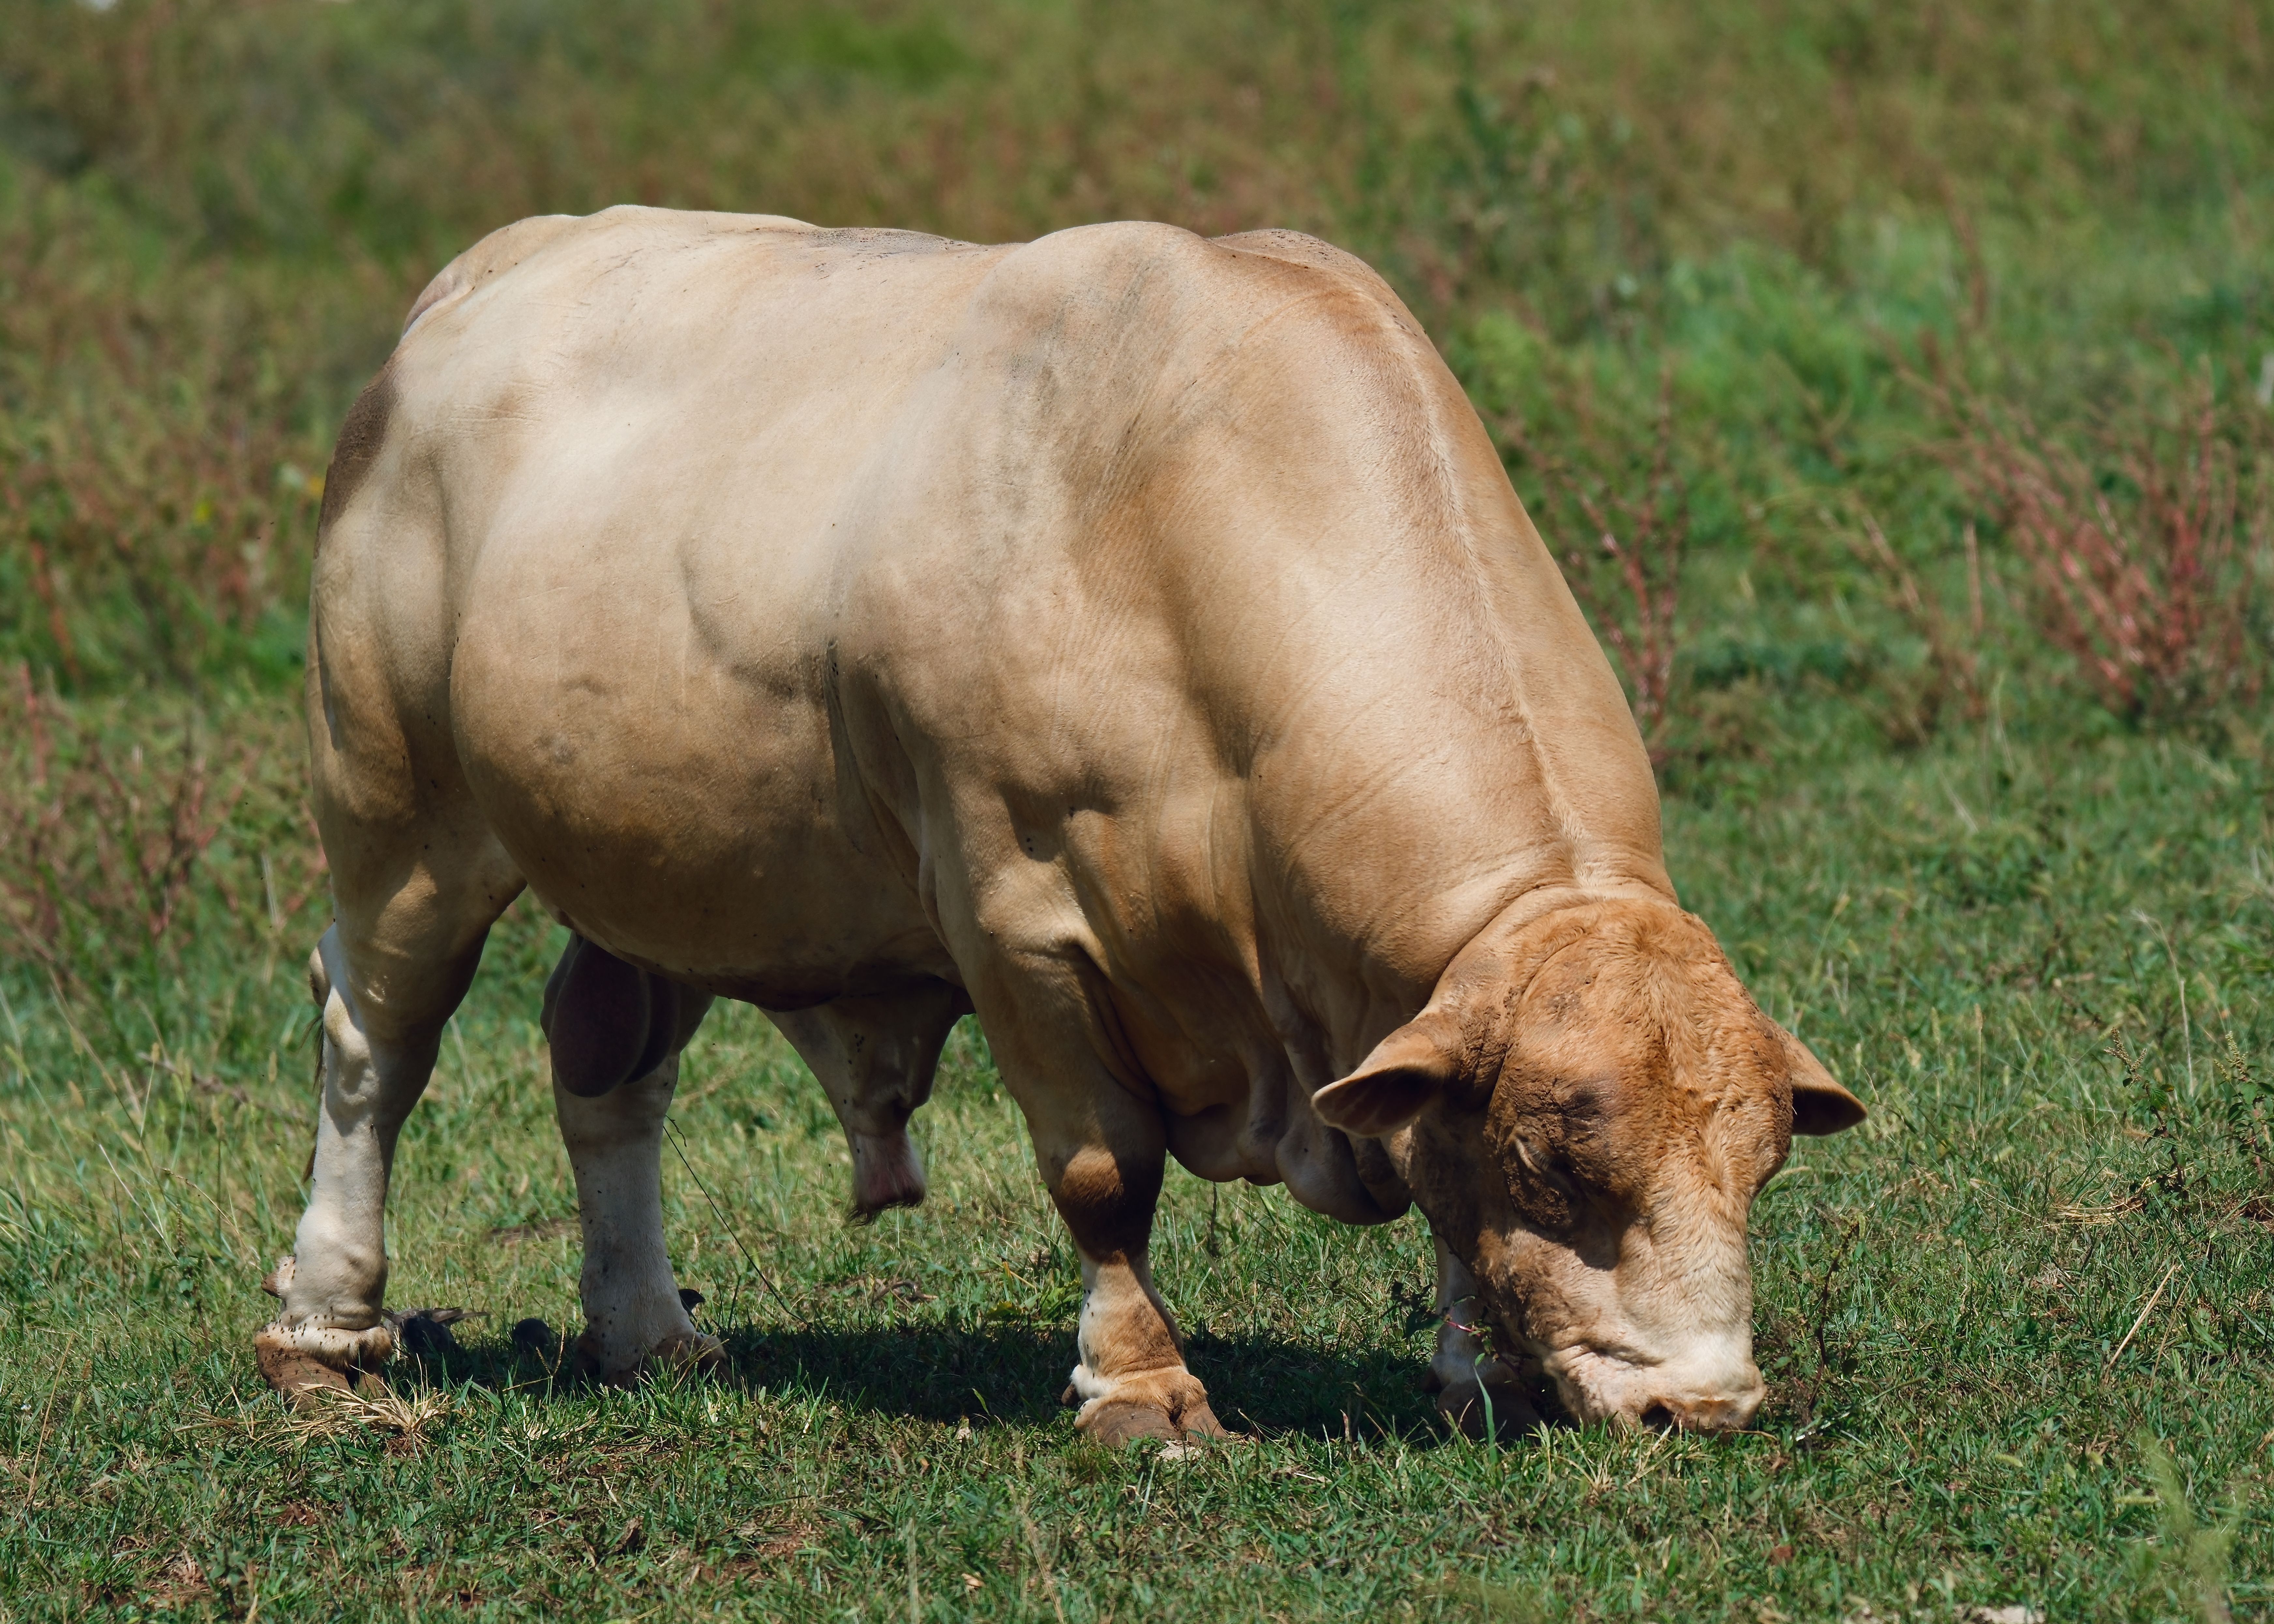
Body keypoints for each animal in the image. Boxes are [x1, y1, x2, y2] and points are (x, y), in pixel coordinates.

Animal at [254, 207, 1864, 1442]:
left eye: (1762, 1166)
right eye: (1556, 1166)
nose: (1705, 1404)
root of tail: (486, 273)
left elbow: (1422, 1156)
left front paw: (1475, 1369)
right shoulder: (1016, 922)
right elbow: (1103, 1173)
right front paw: (1142, 1391)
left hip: (658, 854)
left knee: (607, 1060)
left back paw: (648, 1330)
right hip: (400, 812)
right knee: (374, 1044)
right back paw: (329, 1328)